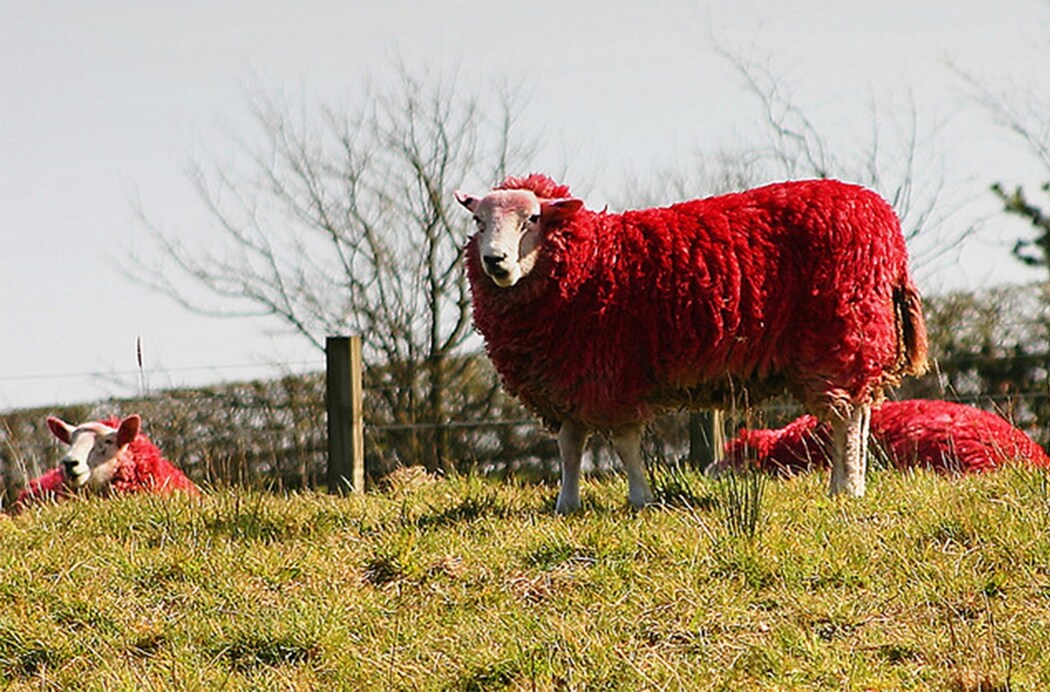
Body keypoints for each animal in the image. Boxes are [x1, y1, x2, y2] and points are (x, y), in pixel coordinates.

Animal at [455, 174, 928, 512]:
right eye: (479, 221)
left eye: (532, 219)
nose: (494, 260)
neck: (590, 262)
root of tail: (885, 223)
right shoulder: (568, 377)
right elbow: (571, 447)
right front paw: (566, 505)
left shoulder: (612, 374)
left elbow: (625, 443)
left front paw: (640, 499)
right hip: (856, 341)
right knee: (858, 414)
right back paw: (852, 482)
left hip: (840, 335)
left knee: (846, 419)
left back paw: (843, 488)